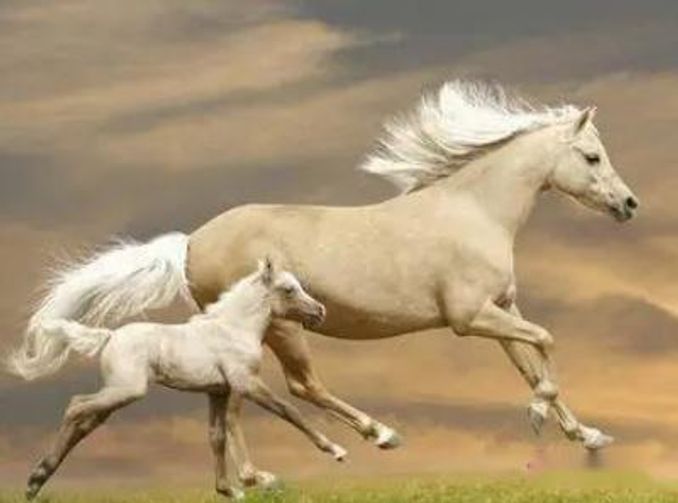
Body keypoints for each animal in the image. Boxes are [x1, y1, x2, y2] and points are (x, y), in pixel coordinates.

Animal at [23, 258, 344, 500]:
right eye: (288, 289)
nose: (320, 311)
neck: (235, 328)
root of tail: (109, 336)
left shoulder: (218, 391)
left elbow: (216, 436)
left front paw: (229, 490)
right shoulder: (245, 383)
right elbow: (289, 412)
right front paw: (334, 452)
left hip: (116, 395)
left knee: (84, 421)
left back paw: (36, 481)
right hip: (126, 390)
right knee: (76, 406)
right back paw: (37, 477)